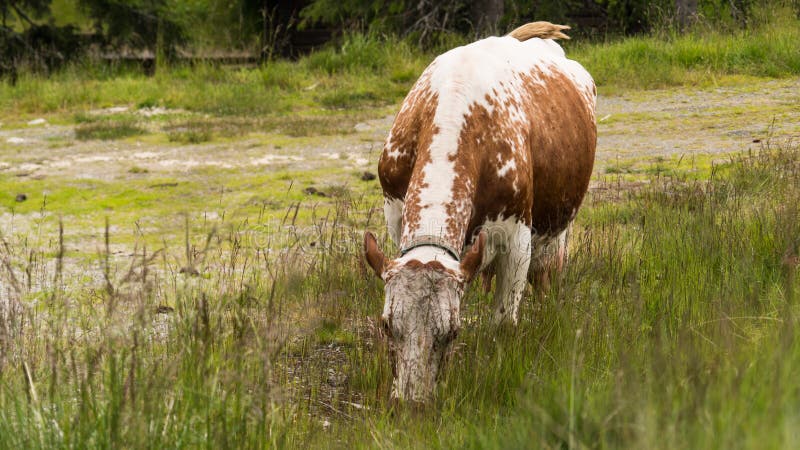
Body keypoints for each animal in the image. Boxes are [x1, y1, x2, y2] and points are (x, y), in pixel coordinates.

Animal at [363, 22, 597, 403]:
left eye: (453, 332)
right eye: (386, 325)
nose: (413, 405)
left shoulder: (517, 239)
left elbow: (503, 323)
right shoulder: (396, 219)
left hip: (557, 229)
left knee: (547, 274)